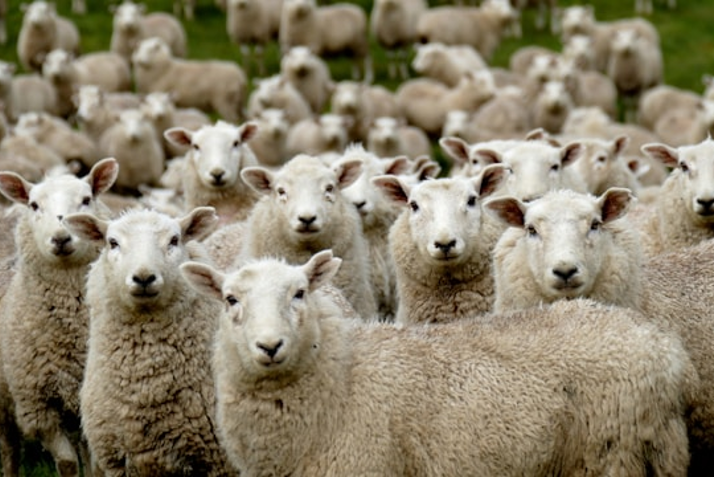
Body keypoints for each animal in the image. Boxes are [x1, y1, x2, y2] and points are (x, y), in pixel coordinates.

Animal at [0, 158, 119, 477]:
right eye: (34, 205)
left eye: (87, 199)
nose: (61, 237)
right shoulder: (39, 406)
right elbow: (66, 463)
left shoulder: (86, 402)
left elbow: (95, 466)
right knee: (9, 449)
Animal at [61, 207, 236, 477]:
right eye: (113, 242)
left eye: (174, 240)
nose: (143, 277)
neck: (146, 385)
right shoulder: (115, 461)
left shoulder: (219, 461)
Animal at [180, 249, 693, 477]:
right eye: (230, 300)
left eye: (300, 293)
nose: (270, 346)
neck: (342, 378)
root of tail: (664, 347)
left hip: (611, 453)